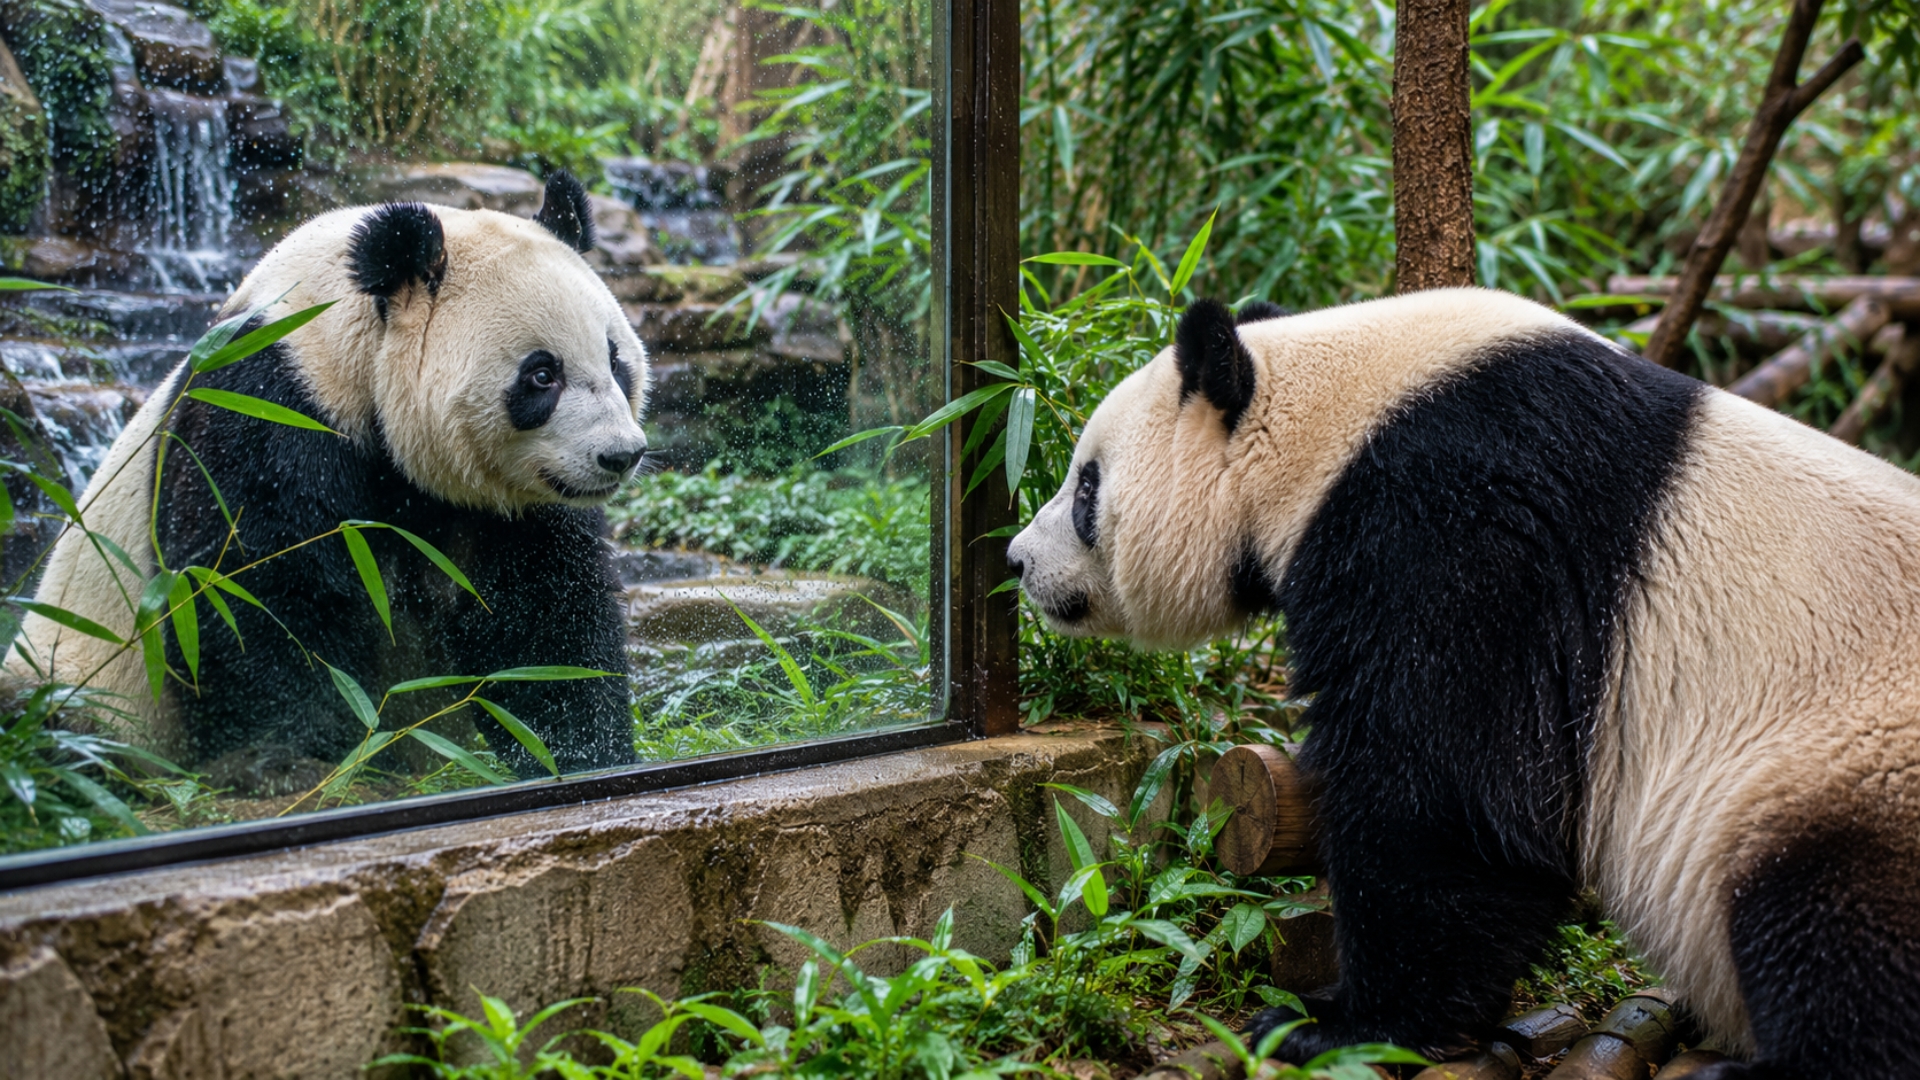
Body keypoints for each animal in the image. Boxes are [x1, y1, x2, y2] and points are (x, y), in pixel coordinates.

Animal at [15, 172, 649, 782]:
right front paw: (290, 758)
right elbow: (254, 584)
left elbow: (539, 614)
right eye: (542, 375)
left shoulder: (498, 503)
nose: (621, 455)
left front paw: (584, 749)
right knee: (56, 729)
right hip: (81, 675)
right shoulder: (268, 402)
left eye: (616, 360)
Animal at [1007, 288, 1920, 1079]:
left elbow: (1447, 795)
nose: (1017, 560)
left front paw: (1340, 1022)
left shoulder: (1457, 527)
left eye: (1085, 486)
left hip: (1842, 767)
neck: (1333, 419)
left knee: (1838, 937)